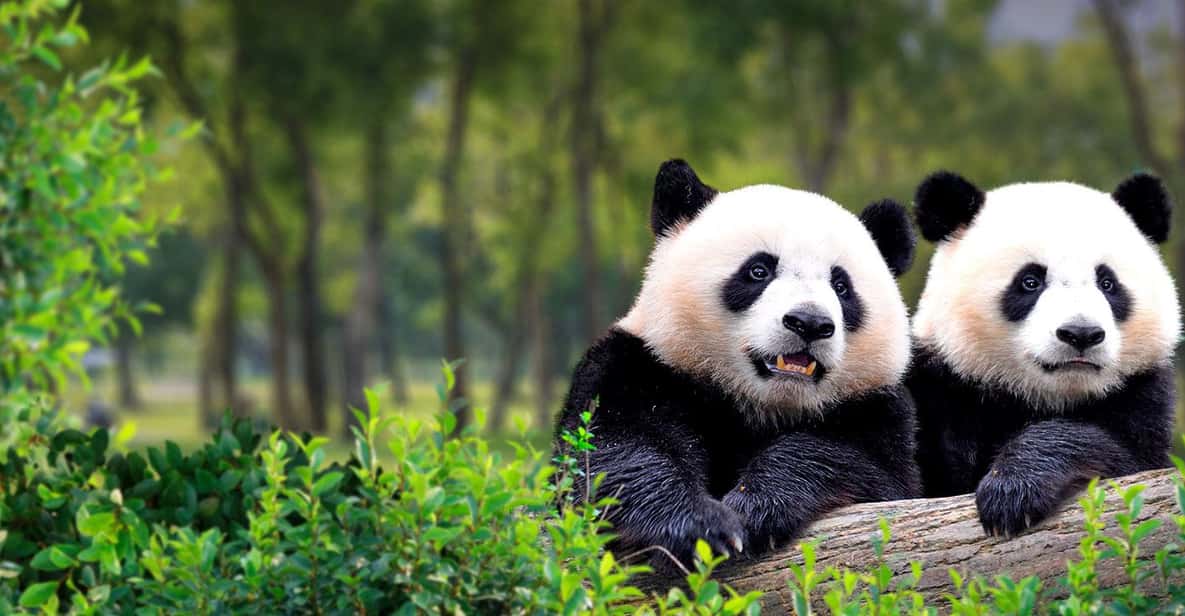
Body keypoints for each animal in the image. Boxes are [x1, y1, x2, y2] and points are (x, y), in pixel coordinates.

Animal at [555, 159, 922, 569]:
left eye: (841, 286)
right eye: (759, 270)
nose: (809, 322)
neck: (761, 403)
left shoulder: (877, 411)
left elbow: (861, 467)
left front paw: (755, 508)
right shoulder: (643, 367)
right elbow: (613, 453)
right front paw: (704, 527)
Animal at [907, 171, 1180, 537]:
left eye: (1107, 283)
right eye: (1030, 281)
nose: (1081, 333)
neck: (1041, 397)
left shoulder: (1140, 399)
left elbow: (1125, 457)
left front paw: (1011, 492)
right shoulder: (942, 389)